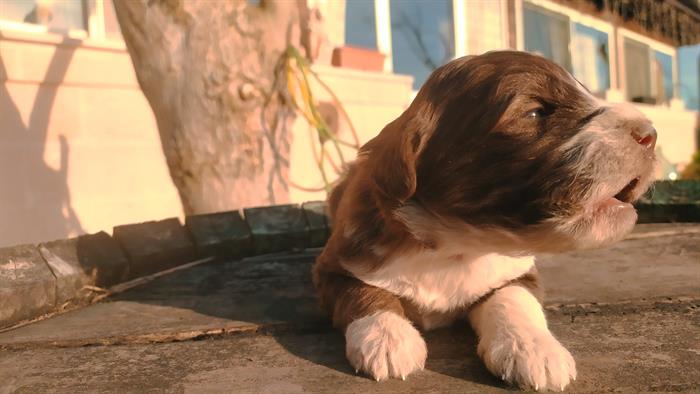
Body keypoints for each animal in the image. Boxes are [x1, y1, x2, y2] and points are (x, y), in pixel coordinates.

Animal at [312, 51, 656, 390]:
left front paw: (534, 350)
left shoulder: (520, 273)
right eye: (535, 112)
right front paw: (387, 338)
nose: (650, 135)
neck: (455, 247)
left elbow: (514, 298)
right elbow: (363, 293)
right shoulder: (335, 266)